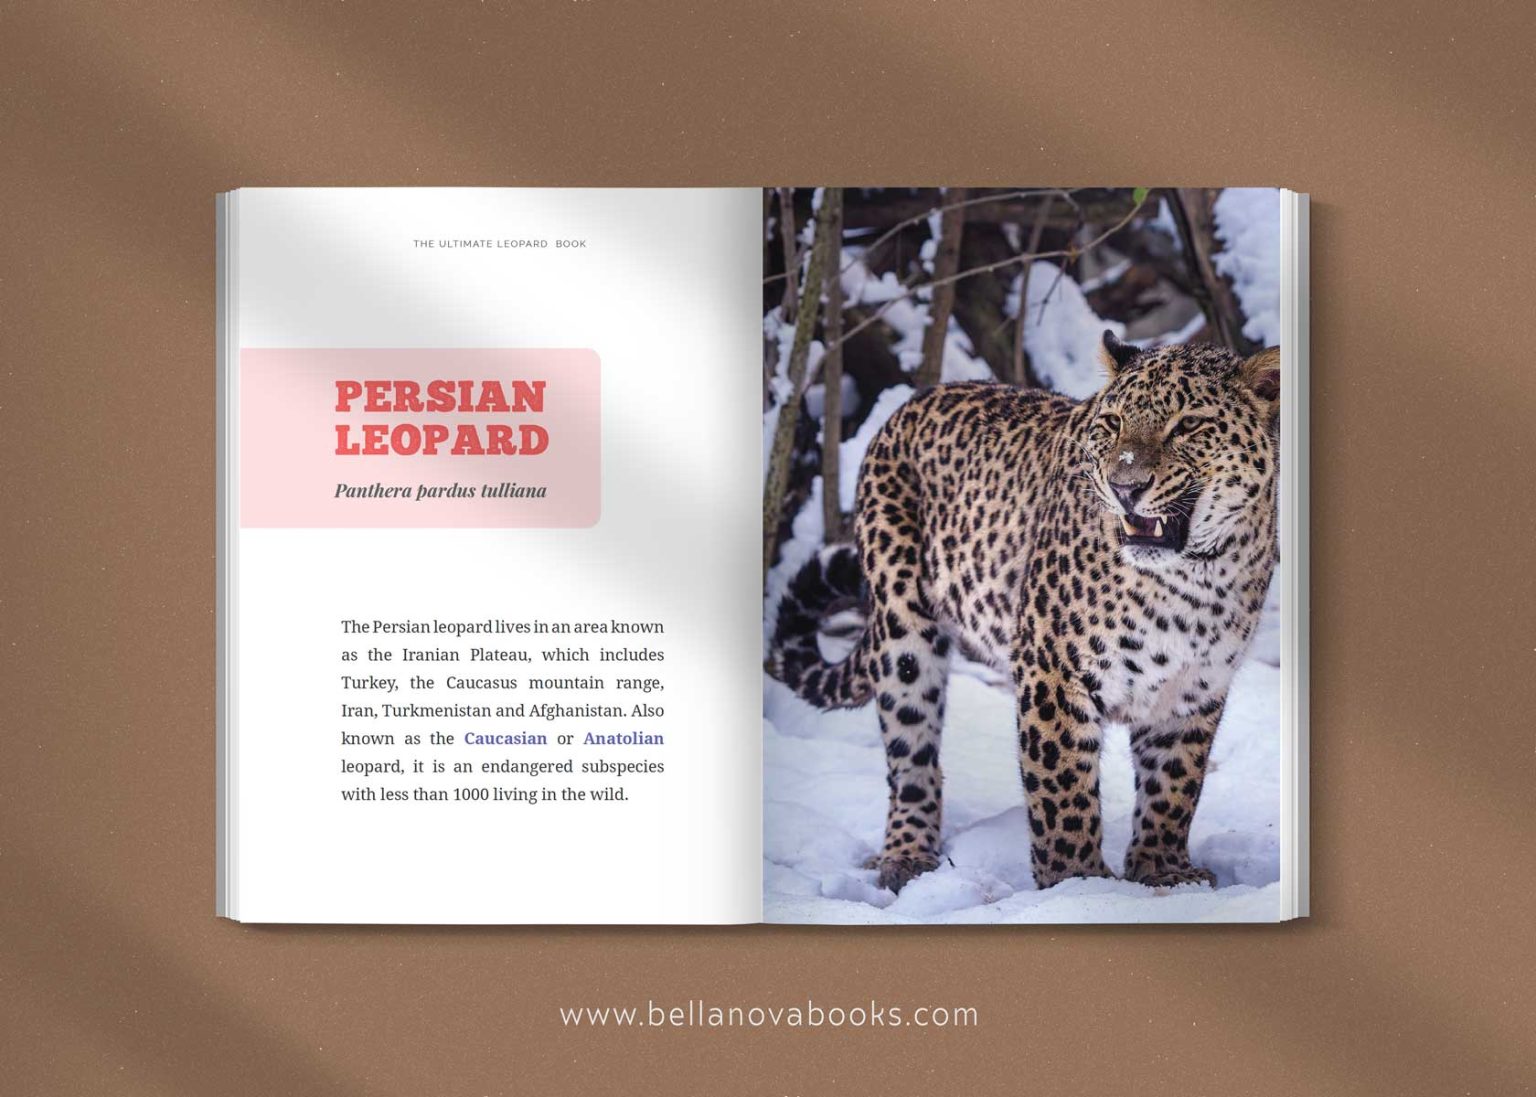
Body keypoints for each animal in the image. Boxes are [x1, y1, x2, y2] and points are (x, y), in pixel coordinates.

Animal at [769, 331, 1281, 893]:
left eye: (1188, 425)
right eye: (1113, 423)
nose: (1125, 487)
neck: (1191, 581)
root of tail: (908, 404)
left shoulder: (1193, 690)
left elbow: (1174, 787)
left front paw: (1163, 871)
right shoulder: (1052, 669)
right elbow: (1063, 790)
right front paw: (1077, 884)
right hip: (903, 633)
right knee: (910, 755)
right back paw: (907, 855)